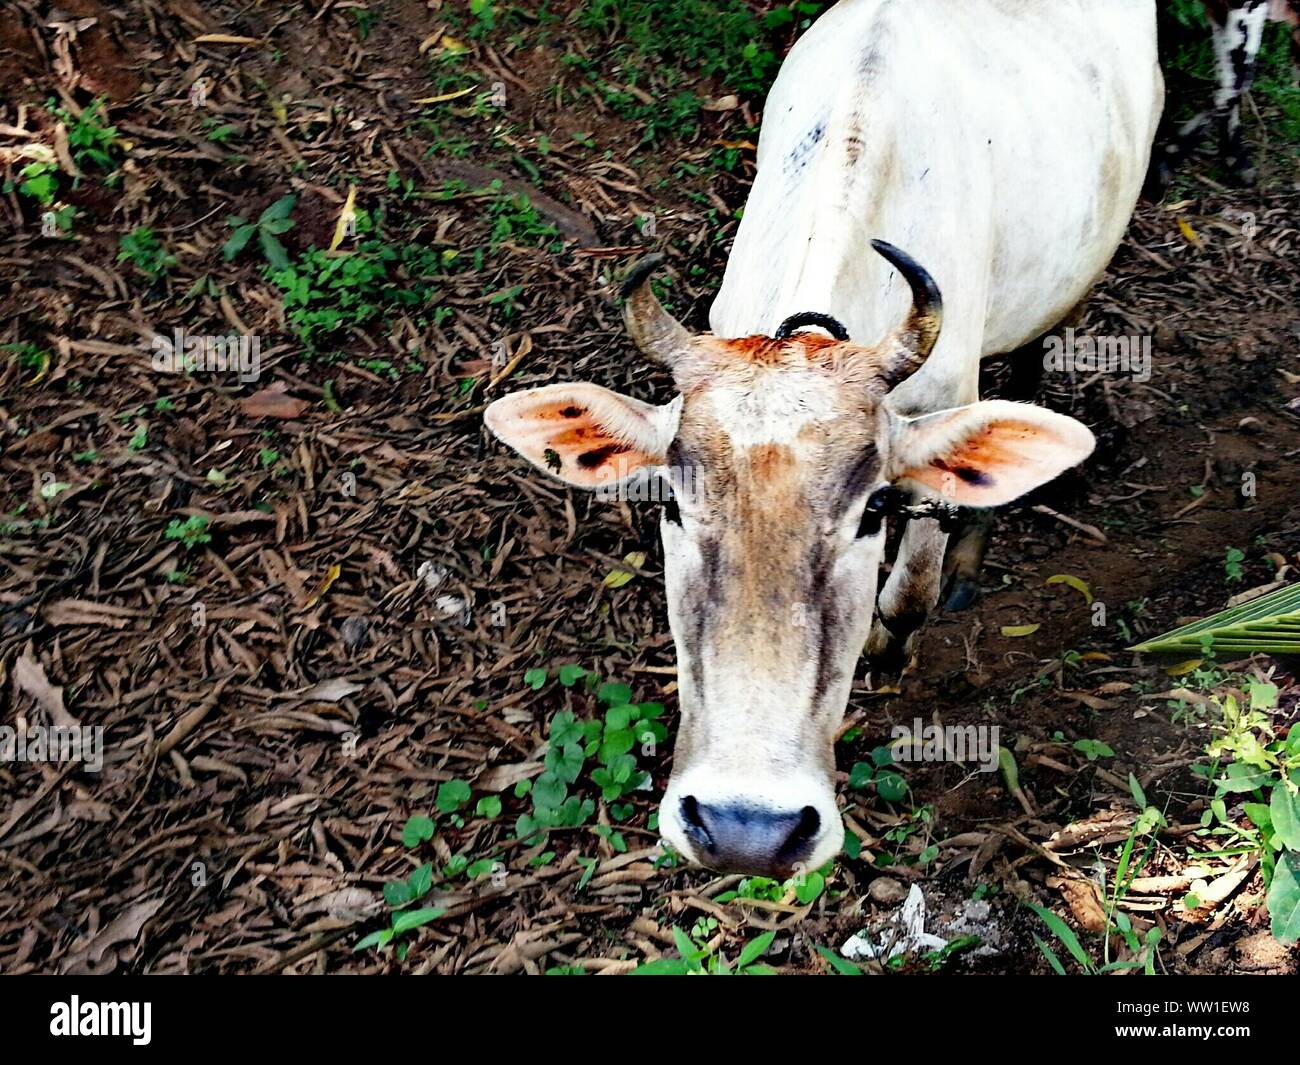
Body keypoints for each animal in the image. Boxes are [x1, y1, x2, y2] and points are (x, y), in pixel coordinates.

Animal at [1155, 0, 1300, 187]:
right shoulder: (1246, 7)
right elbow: (1234, 82)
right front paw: (1169, 155)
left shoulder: (1220, 10)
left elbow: (1230, 82)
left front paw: (1235, 158)